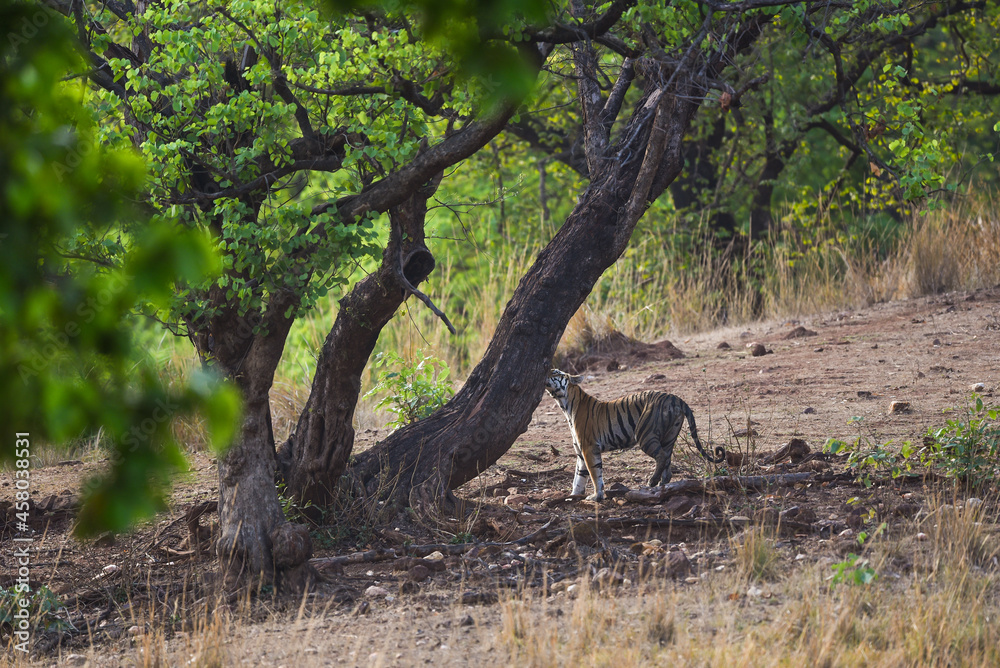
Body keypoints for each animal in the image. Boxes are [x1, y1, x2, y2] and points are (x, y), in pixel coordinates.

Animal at [544, 368, 725, 501]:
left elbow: (595, 474)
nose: (547, 369)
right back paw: (663, 485)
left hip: (645, 434)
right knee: (667, 461)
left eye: (555, 372)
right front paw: (574, 496)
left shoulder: (589, 448)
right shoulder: (581, 452)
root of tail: (676, 398)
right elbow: (579, 477)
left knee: (661, 456)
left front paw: (596, 496)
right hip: (669, 436)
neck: (565, 404)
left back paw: (652, 482)